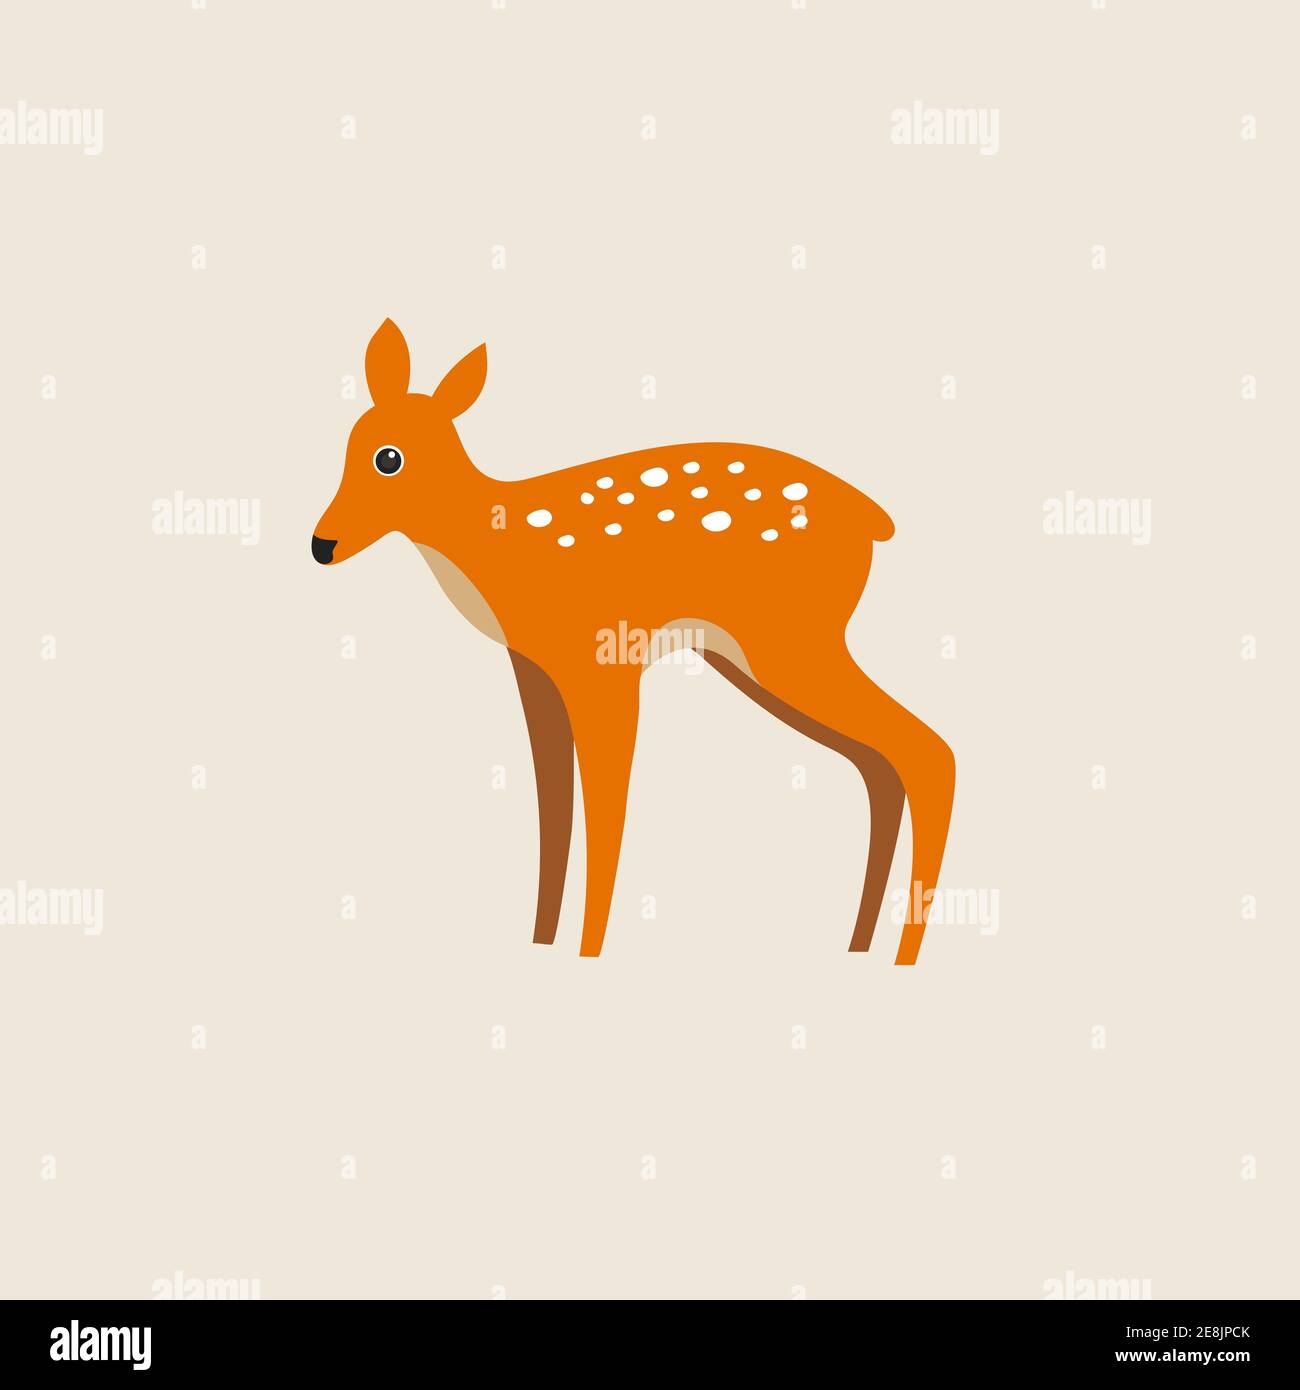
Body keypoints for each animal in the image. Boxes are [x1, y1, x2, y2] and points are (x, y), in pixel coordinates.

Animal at [312, 321, 955, 964]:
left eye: (388, 458)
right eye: (348, 445)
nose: (322, 545)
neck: (493, 545)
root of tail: (876, 521)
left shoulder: (600, 660)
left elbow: (606, 807)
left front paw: (587, 951)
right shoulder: (534, 668)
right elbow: (553, 804)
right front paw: (541, 942)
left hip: (791, 639)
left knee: (928, 752)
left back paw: (901, 954)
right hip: (759, 654)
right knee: (879, 764)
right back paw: (859, 946)